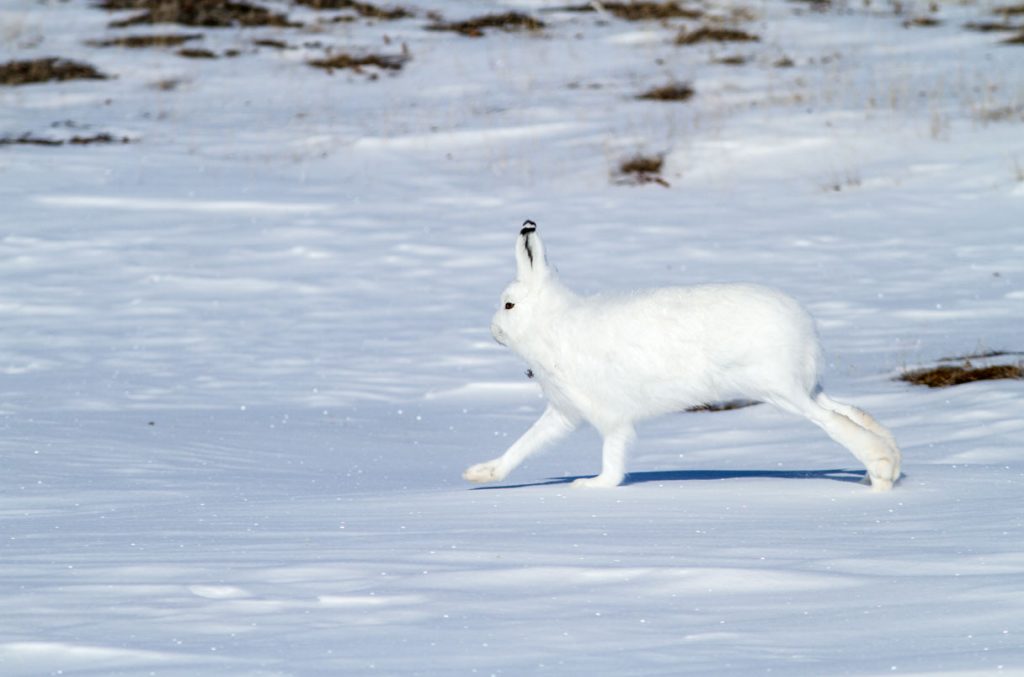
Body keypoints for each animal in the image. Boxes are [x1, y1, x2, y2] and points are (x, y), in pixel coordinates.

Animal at [463, 221, 902, 491]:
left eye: (509, 305)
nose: (494, 331)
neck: (552, 323)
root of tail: (804, 328)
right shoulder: (565, 410)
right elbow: (525, 443)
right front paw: (482, 473)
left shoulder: (607, 414)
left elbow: (613, 456)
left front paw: (592, 485)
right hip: (802, 388)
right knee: (850, 411)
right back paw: (887, 466)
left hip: (777, 388)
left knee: (833, 423)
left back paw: (880, 473)